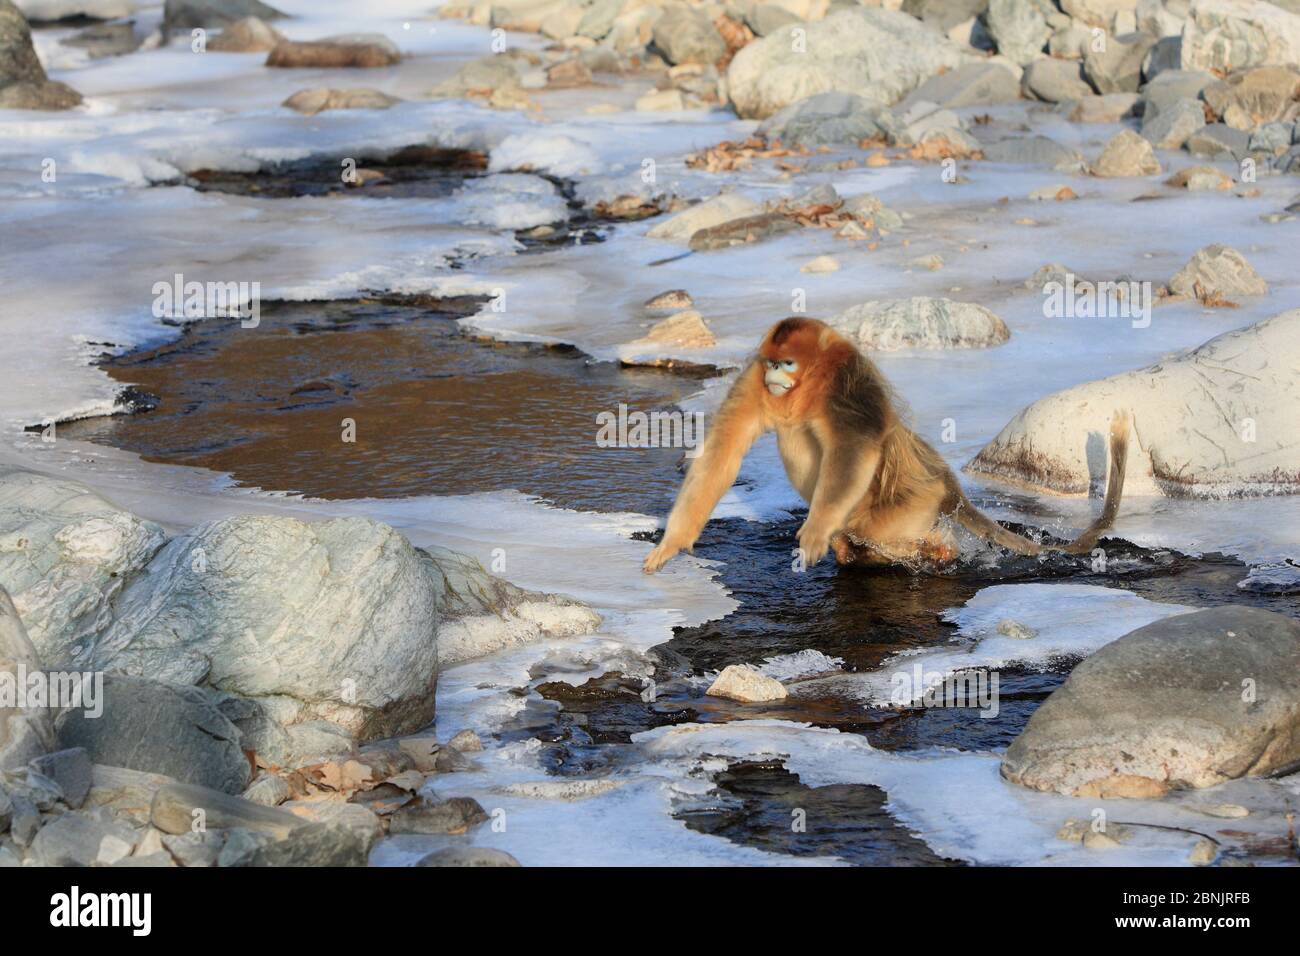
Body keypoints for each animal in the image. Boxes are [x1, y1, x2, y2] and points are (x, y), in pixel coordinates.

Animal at [642, 316, 1130, 574]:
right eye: (772, 363)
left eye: (788, 363)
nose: (774, 377)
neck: (808, 389)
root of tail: (945, 482)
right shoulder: (753, 383)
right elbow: (721, 453)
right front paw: (671, 544)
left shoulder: (849, 383)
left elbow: (854, 451)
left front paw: (813, 533)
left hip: (912, 501)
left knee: (882, 527)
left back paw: (937, 550)